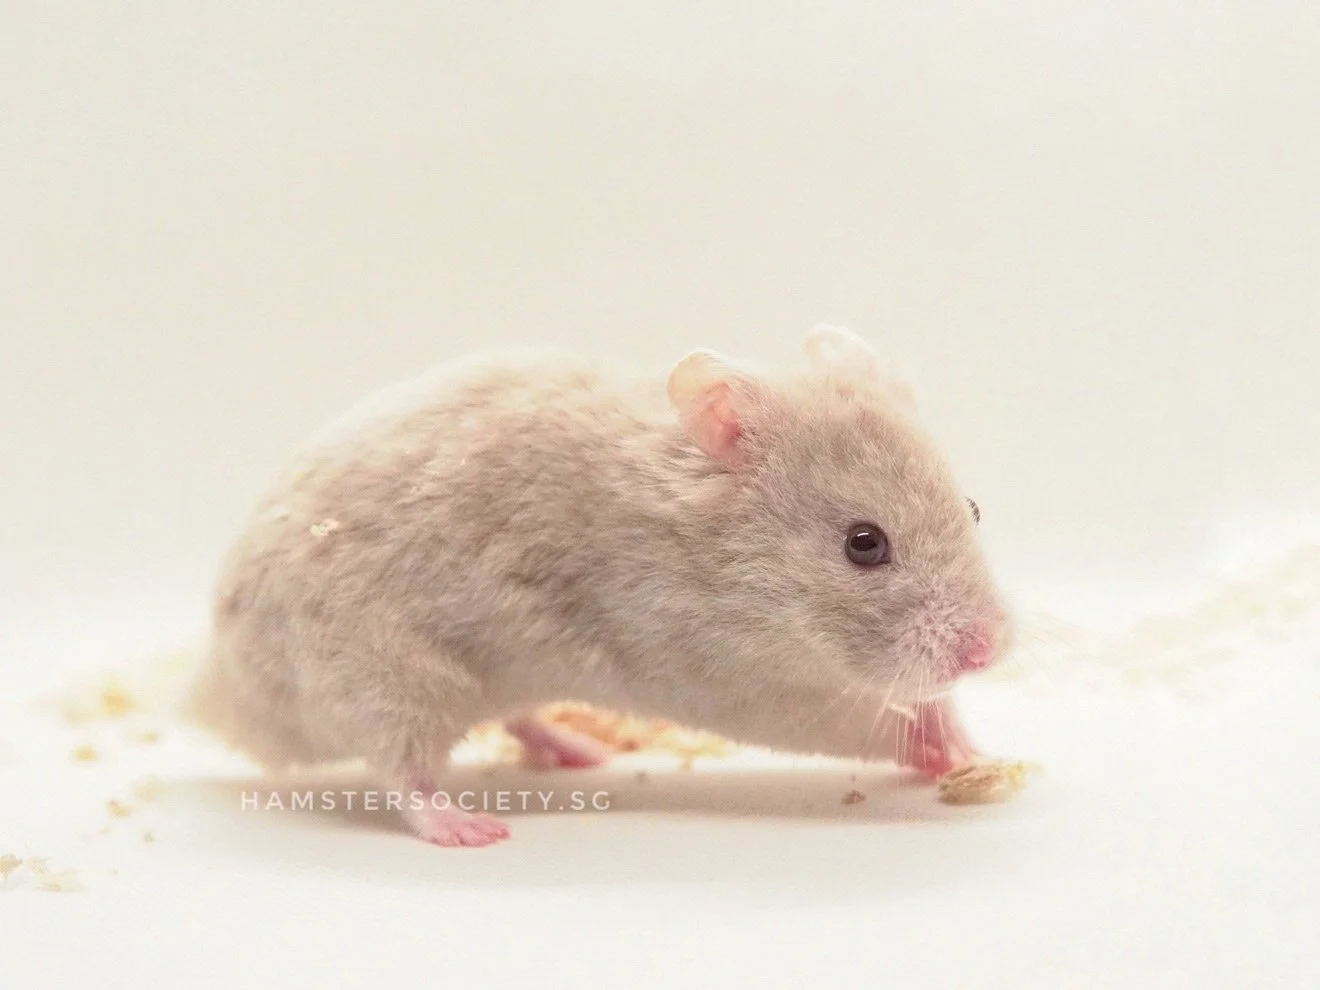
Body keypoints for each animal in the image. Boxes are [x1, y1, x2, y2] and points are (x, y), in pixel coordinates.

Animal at [183, 325, 1013, 847]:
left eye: (974, 508)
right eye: (864, 545)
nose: (989, 652)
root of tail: (216, 695)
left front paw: (968, 742)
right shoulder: (722, 680)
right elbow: (856, 720)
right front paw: (942, 749)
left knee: (516, 722)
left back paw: (578, 751)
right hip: (381, 682)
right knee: (403, 773)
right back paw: (472, 829)